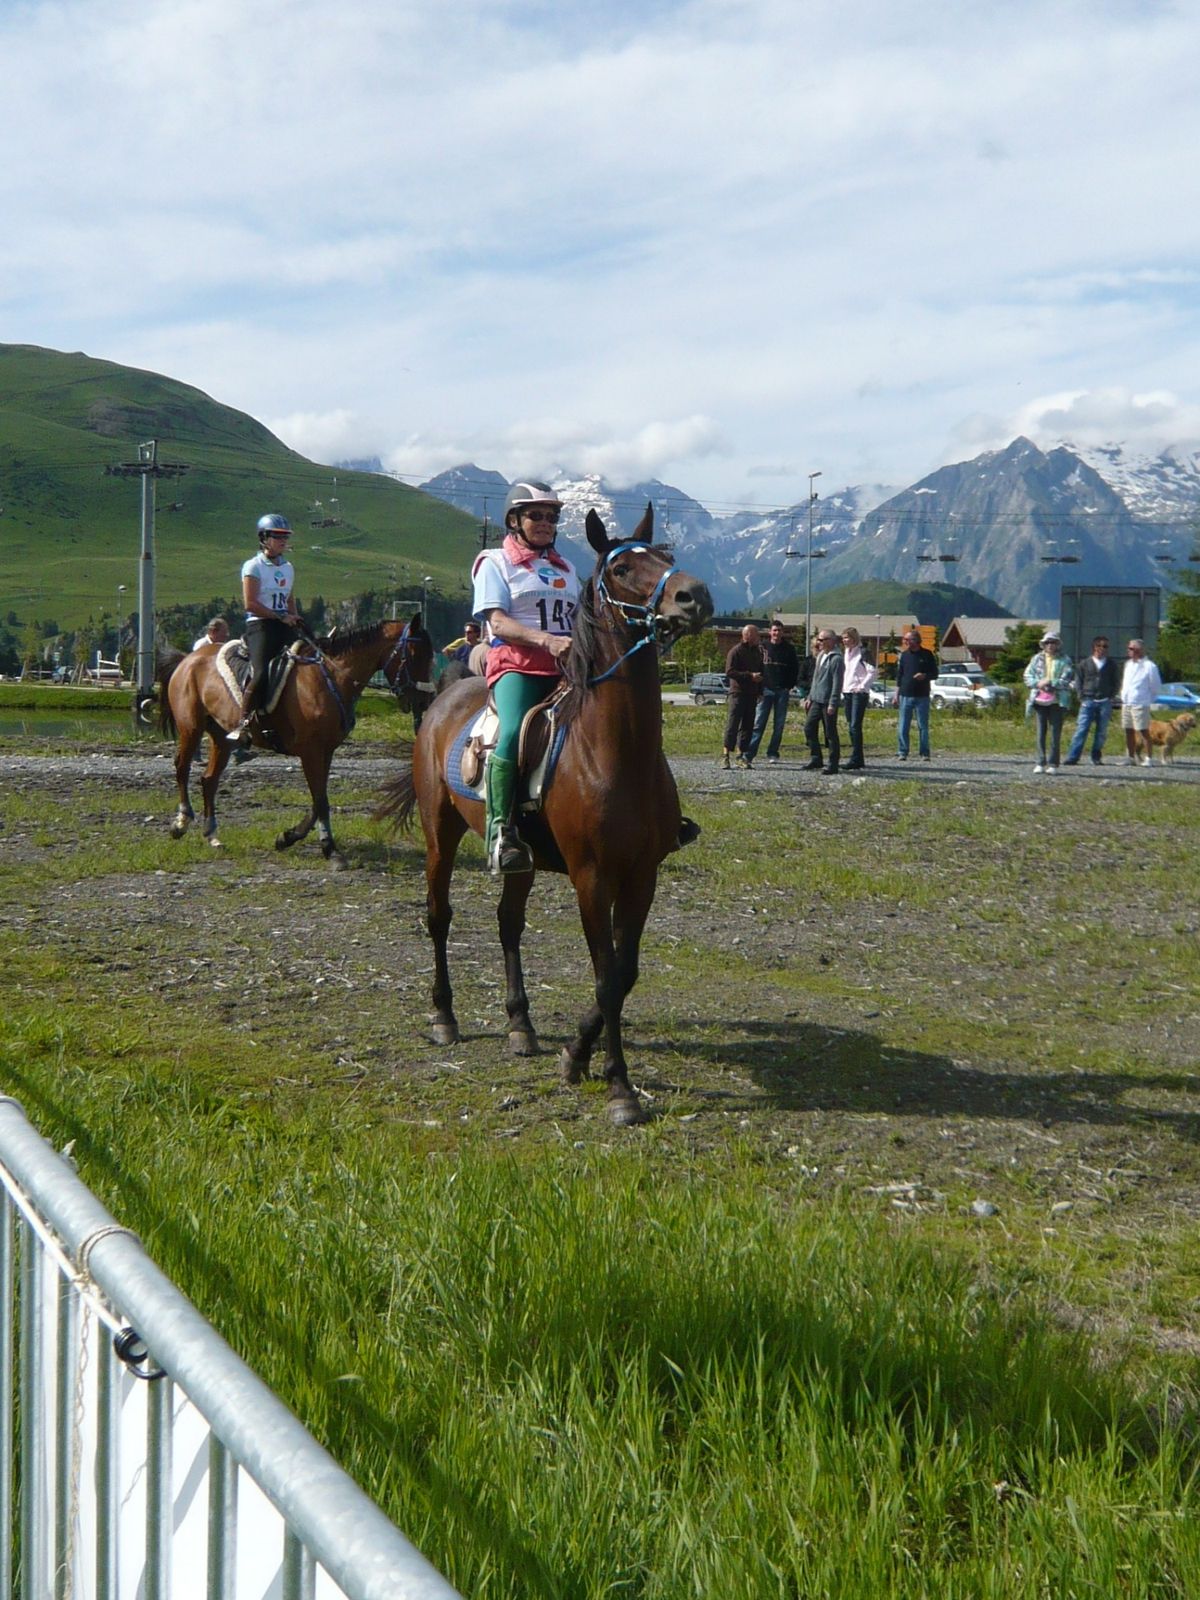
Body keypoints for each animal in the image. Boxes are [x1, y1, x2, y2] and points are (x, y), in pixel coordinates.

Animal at [159, 616, 435, 865]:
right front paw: (330, 849)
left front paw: (287, 837)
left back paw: (212, 835)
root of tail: (189, 658)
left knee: (209, 780)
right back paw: (181, 823)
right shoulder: (310, 751)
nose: (424, 702)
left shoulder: (326, 751)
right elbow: (321, 801)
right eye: (413, 654)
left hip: (221, 737)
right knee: (182, 768)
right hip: (191, 728)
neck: (331, 679)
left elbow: (318, 799)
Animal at [376, 506, 713, 1125]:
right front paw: (619, 1087)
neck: (616, 751)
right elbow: (605, 978)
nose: (693, 596)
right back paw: (444, 1018)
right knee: (439, 916)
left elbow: (624, 974)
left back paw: (521, 1025)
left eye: (666, 553)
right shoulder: (591, 877)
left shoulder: (643, 876)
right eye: (623, 567)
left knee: (509, 924)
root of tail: (441, 700)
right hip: (440, 836)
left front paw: (576, 1054)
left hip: (523, 861)